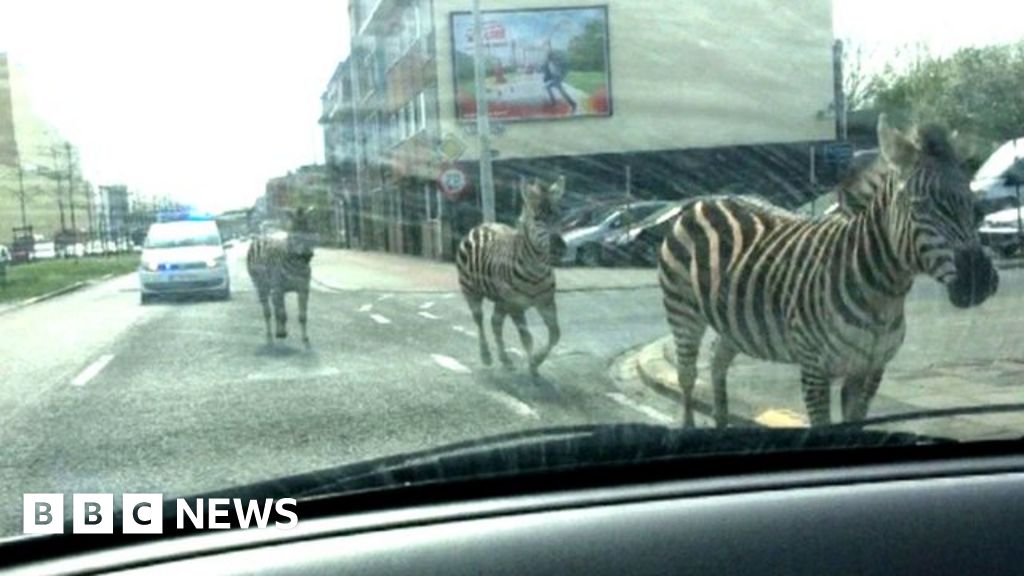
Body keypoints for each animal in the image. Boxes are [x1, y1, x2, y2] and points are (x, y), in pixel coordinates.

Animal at [247, 207, 317, 345]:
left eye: (310, 231)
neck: (297, 265)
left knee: (275, 307)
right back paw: (271, 334)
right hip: (261, 286)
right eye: (294, 234)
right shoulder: (278, 287)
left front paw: (305, 338)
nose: (308, 255)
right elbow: (282, 314)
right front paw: (282, 333)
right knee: (268, 311)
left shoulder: (303, 289)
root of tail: (261, 236)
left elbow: (302, 316)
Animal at [456, 176, 565, 377]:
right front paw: (533, 364)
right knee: (479, 320)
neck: (536, 271)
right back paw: (486, 356)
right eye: (537, 218)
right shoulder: (516, 305)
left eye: (559, 216)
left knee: (495, 323)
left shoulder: (546, 301)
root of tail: (482, 225)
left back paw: (505, 359)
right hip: (471, 291)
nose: (560, 249)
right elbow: (527, 337)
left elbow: (555, 334)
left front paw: (536, 361)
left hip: (501, 300)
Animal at [658, 115, 999, 428]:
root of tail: (706, 200)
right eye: (920, 206)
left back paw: (721, 421)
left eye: (975, 206)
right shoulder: (814, 369)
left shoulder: (870, 369)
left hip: (732, 324)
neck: (882, 295)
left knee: (717, 361)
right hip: (683, 311)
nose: (981, 281)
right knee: (687, 375)